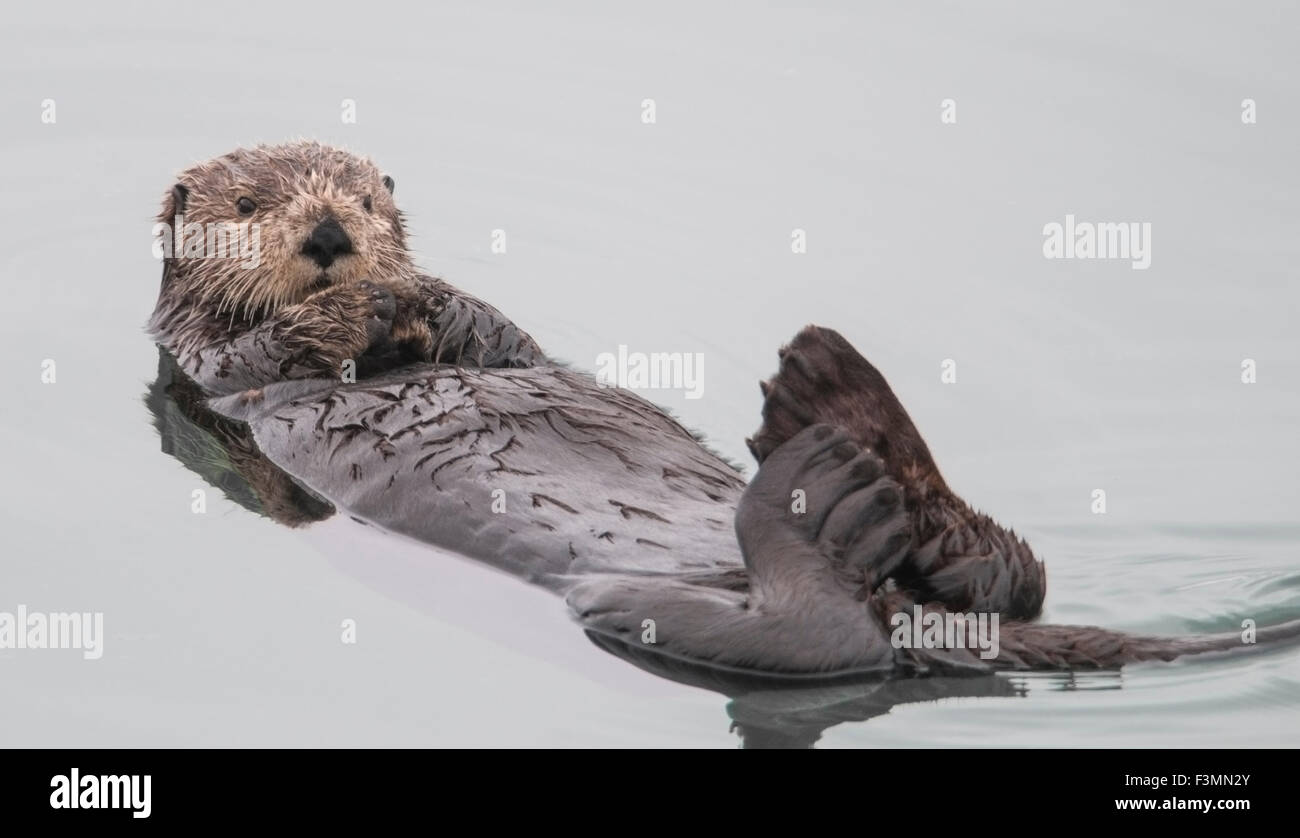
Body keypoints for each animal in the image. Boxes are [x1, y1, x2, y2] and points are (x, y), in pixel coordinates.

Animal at [148, 141, 1300, 679]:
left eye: (365, 197)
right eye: (249, 206)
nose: (332, 234)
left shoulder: (501, 337)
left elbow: (507, 340)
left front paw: (432, 296)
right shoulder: (202, 362)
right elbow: (252, 352)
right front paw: (362, 304)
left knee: (1000, 576)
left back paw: (855, 427)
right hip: (639, 608)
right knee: (826, 639)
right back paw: (826, 468)